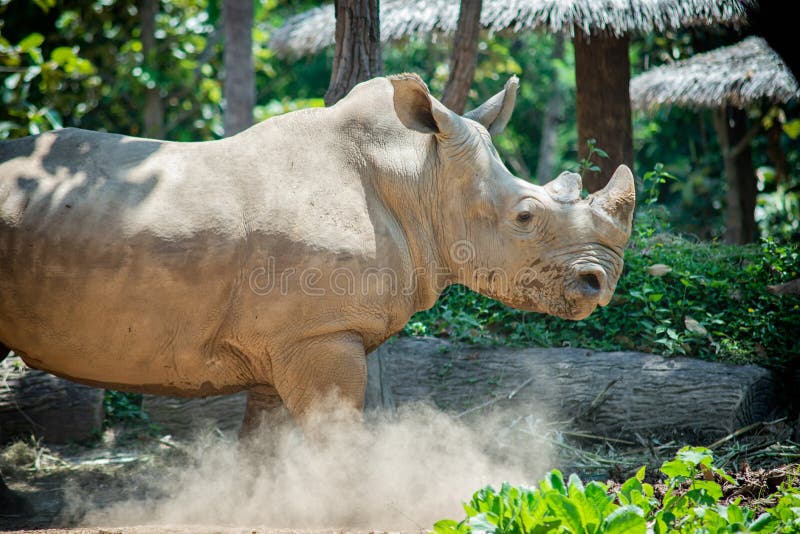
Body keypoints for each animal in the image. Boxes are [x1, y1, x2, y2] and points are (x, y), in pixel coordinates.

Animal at [0, 74, 634, 435]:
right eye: (525, 217)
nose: (600, 285)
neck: (418, 176)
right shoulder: (319, 333)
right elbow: (336, 443)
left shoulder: (281, 339)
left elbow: (262, 451)